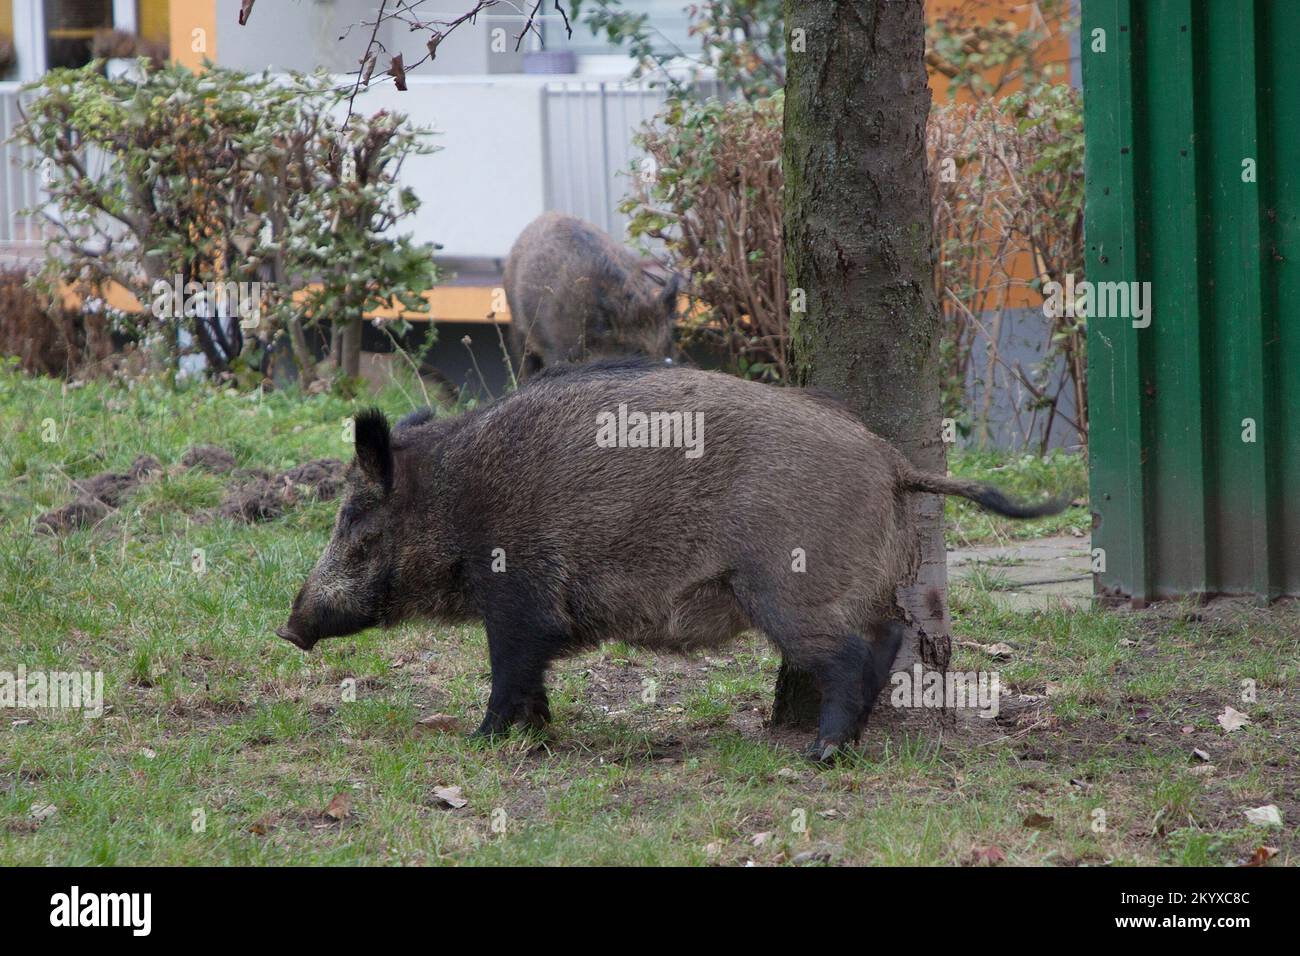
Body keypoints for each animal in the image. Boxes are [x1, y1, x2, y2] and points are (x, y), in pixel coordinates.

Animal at [278, 360, 1065, 757]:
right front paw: (535, 735)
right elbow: (529, 680)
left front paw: (482, 742)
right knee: (887, 639)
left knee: (848, 654)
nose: (288, 628)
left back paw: (821, 753)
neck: (452, 504)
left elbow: (509, 670)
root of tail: (894, 462)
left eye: (355, 524)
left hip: (788, 587)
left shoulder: (519, 598)